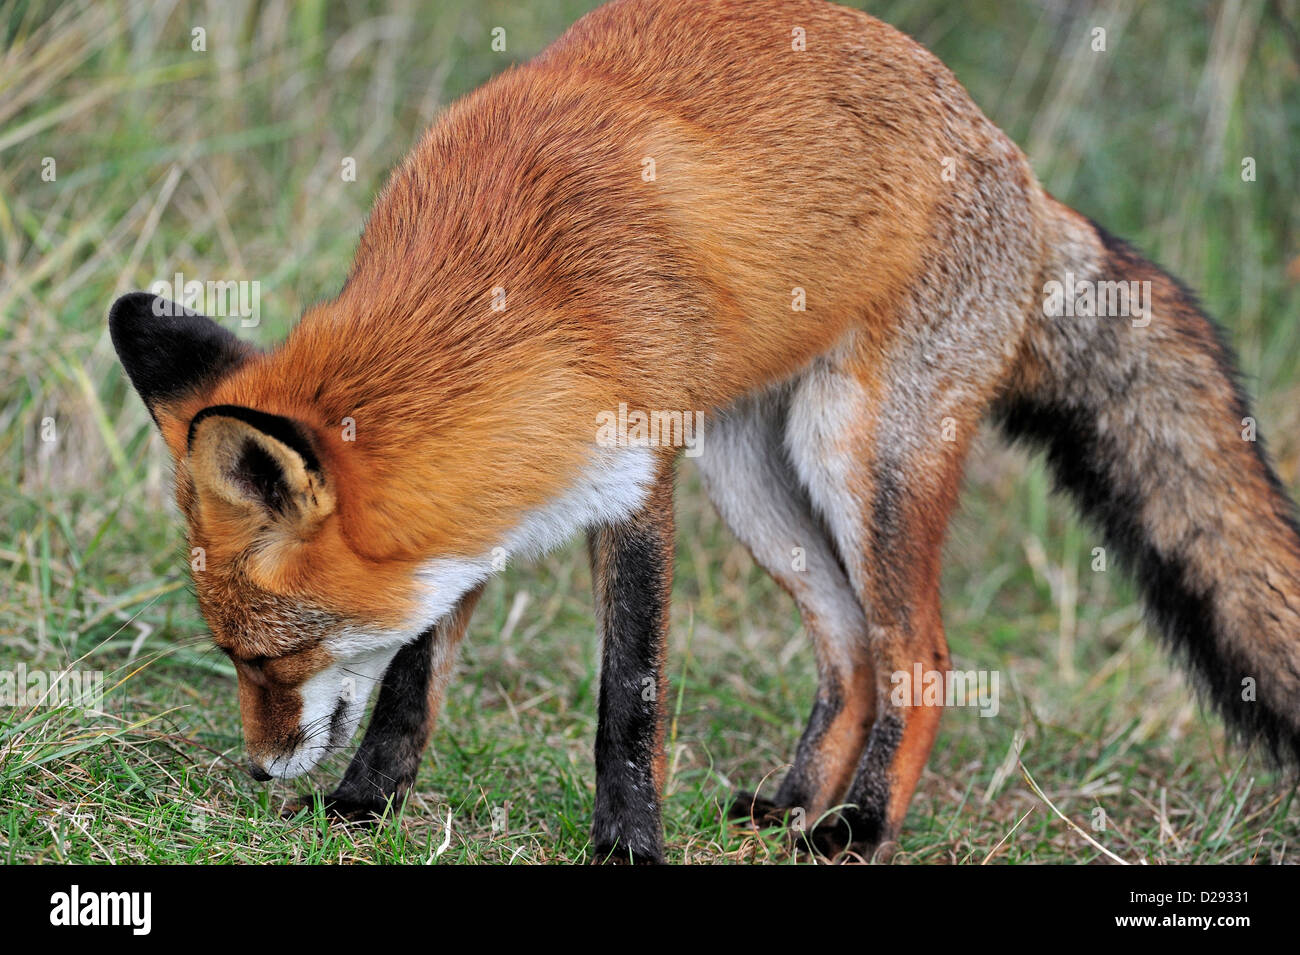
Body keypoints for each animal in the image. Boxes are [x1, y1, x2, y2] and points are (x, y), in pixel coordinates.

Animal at [109, 0, 1300, 864]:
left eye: (268, 654)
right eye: (237, 657)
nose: (258, 770)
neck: (524, 293)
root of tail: (1012, 160)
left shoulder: (640, 483)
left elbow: (626, 698)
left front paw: (627, 842)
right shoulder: (485, 502)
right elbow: (409, 678)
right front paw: (365, 806)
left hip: (857, 456)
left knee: (918, 653)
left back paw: (858, 826)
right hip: (753, 482)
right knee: (850, 650)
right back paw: (790, 804)